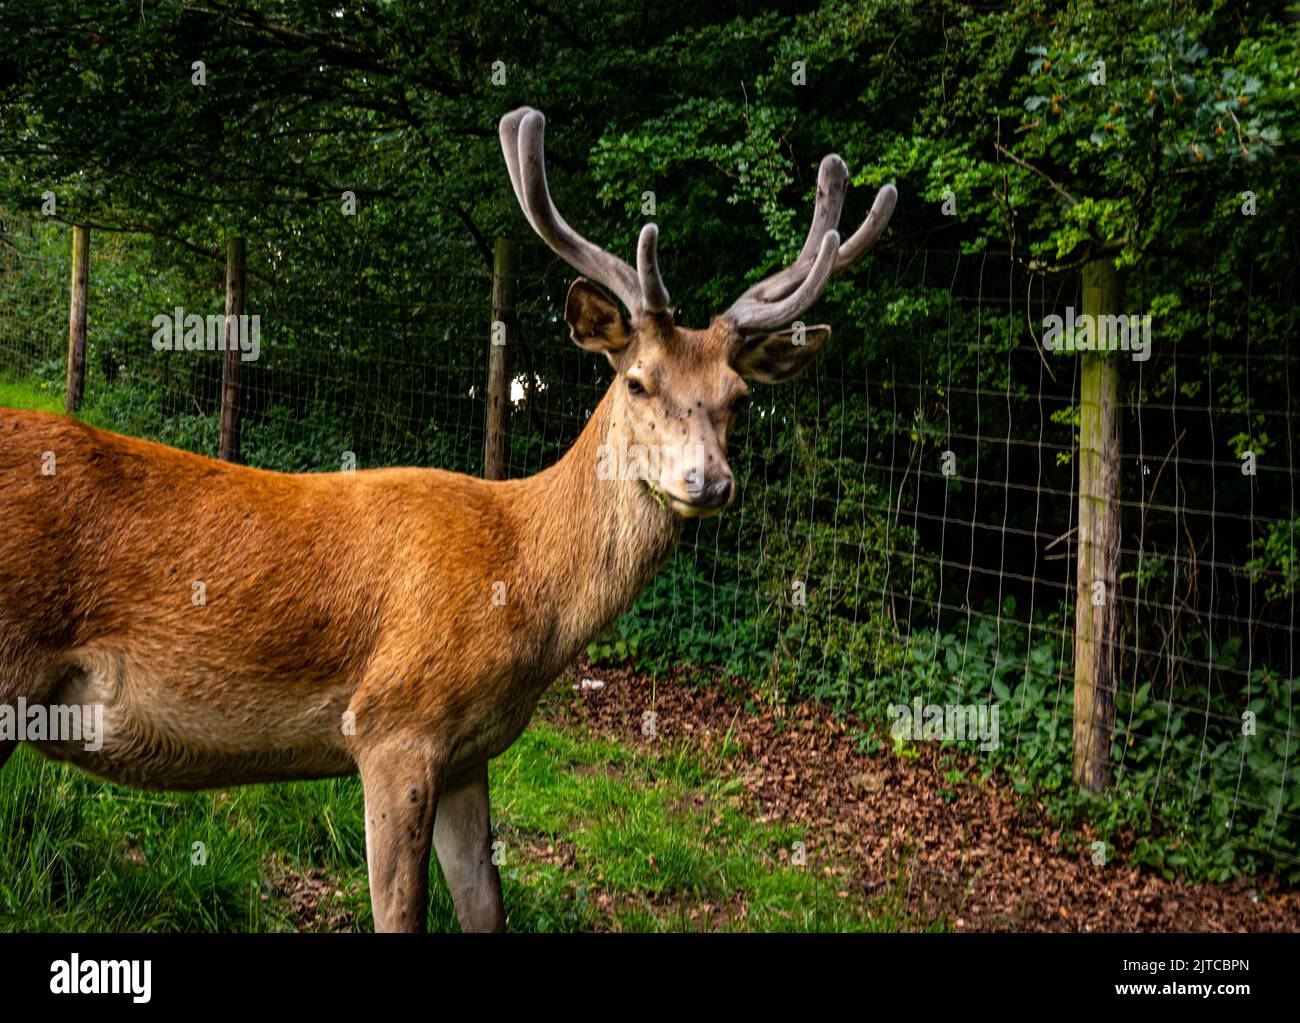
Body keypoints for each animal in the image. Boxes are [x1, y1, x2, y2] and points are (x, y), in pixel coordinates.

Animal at [0, 107, 895, 932]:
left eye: (739, 399)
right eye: (637, 379)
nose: (708, 481)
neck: (524, 582)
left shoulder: (469, 753)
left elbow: (483, 907)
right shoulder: (392, 723)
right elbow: (401, 912)